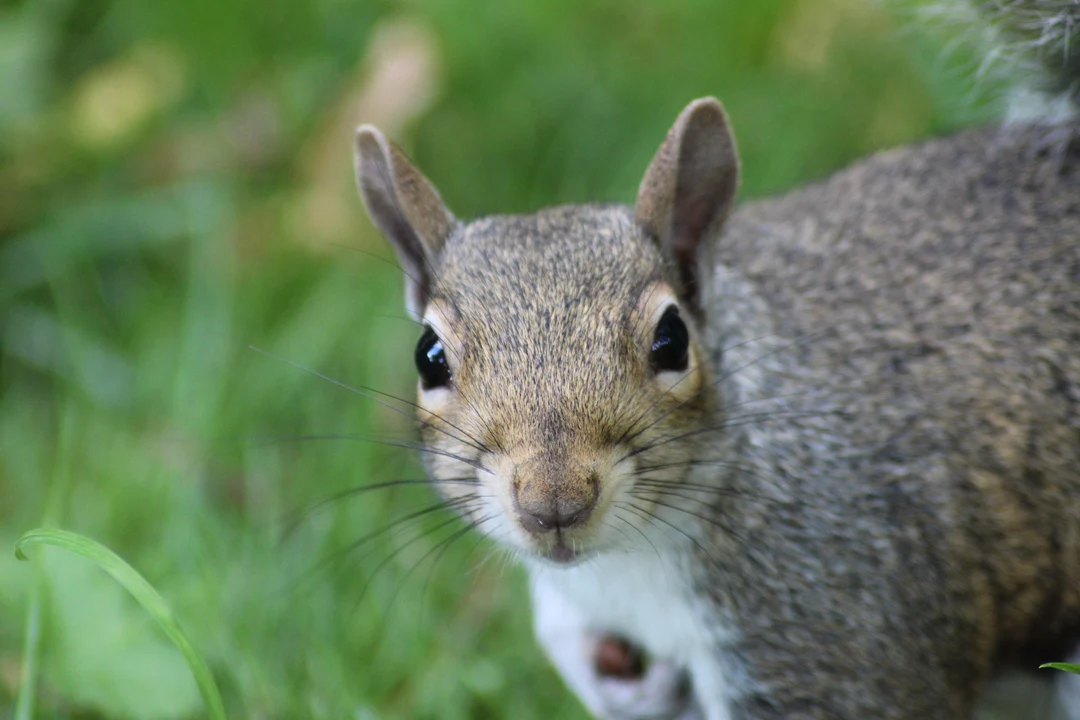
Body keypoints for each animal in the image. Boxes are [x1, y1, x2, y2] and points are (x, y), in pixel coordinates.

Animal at [351, 1, 1080, 718]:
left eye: (672, 340)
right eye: (429, 357)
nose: (553, 503)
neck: (623, 564)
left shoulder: (827, 624)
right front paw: (617, 678)